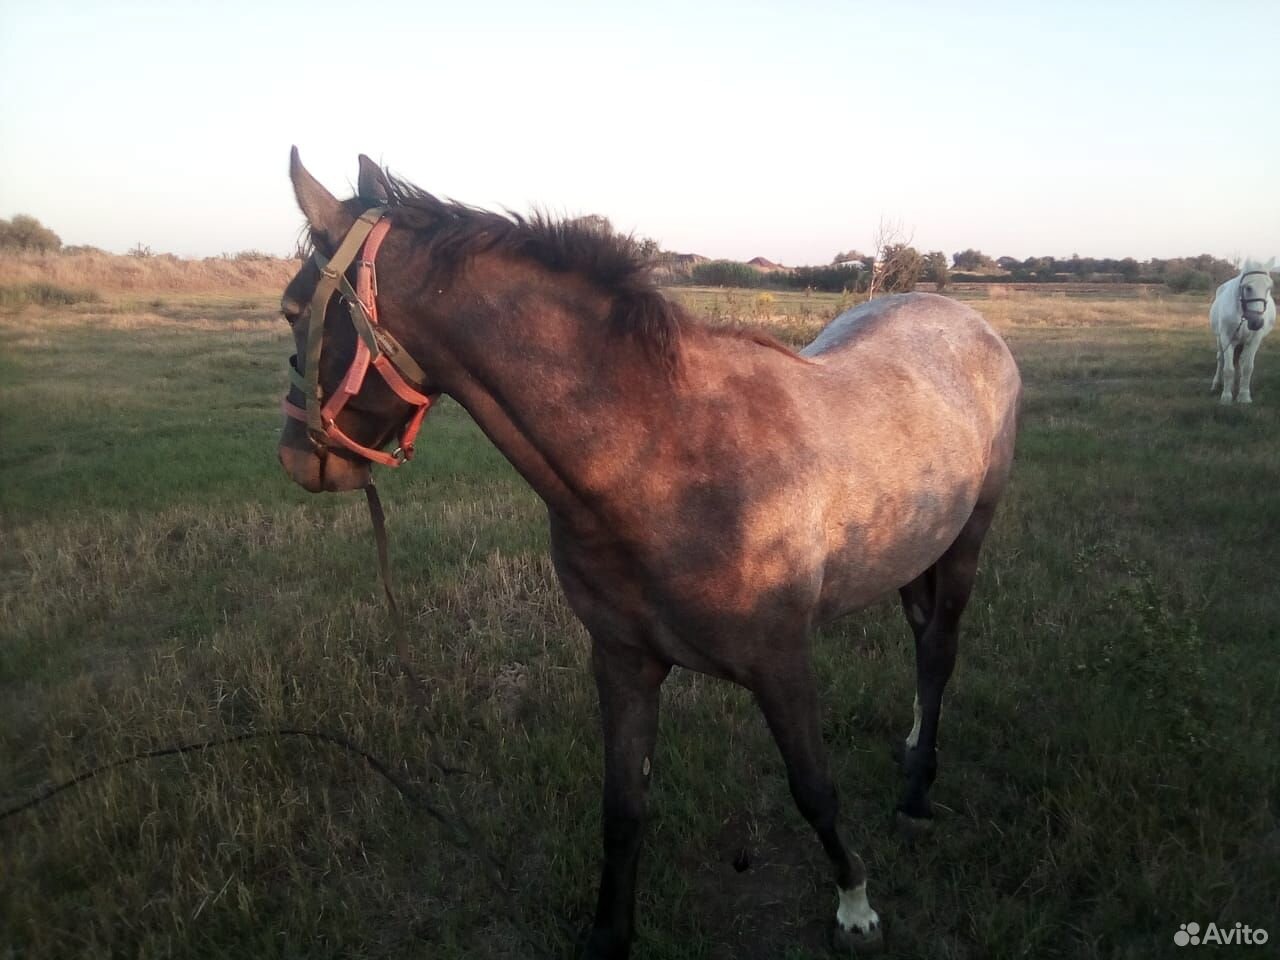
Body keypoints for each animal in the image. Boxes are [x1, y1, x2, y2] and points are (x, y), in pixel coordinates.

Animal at [276, 150, 1022, 958]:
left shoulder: (781, 660)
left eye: (290, 309)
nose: (298, 459)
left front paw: (855, 905)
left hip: (969, 539)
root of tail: (969, 322)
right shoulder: (622, 660)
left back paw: (917, 790)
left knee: (939, 650)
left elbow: (814, 789)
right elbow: (623, 808)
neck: (664, 461)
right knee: (921, 642)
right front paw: (610, 934)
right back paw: (915, 745)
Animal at [1210, 262, 1276, 404]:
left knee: (1239, 362)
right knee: (1220, 359)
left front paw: (1244, 396)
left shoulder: (1254, 340)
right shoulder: (1226, 337)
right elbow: (1228, 369)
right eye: (1248, 288)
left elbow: (1247, 368)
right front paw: (1226, 397)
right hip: (1220, 338)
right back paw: (1216, 384)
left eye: (1268, 288)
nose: (1257, 323)